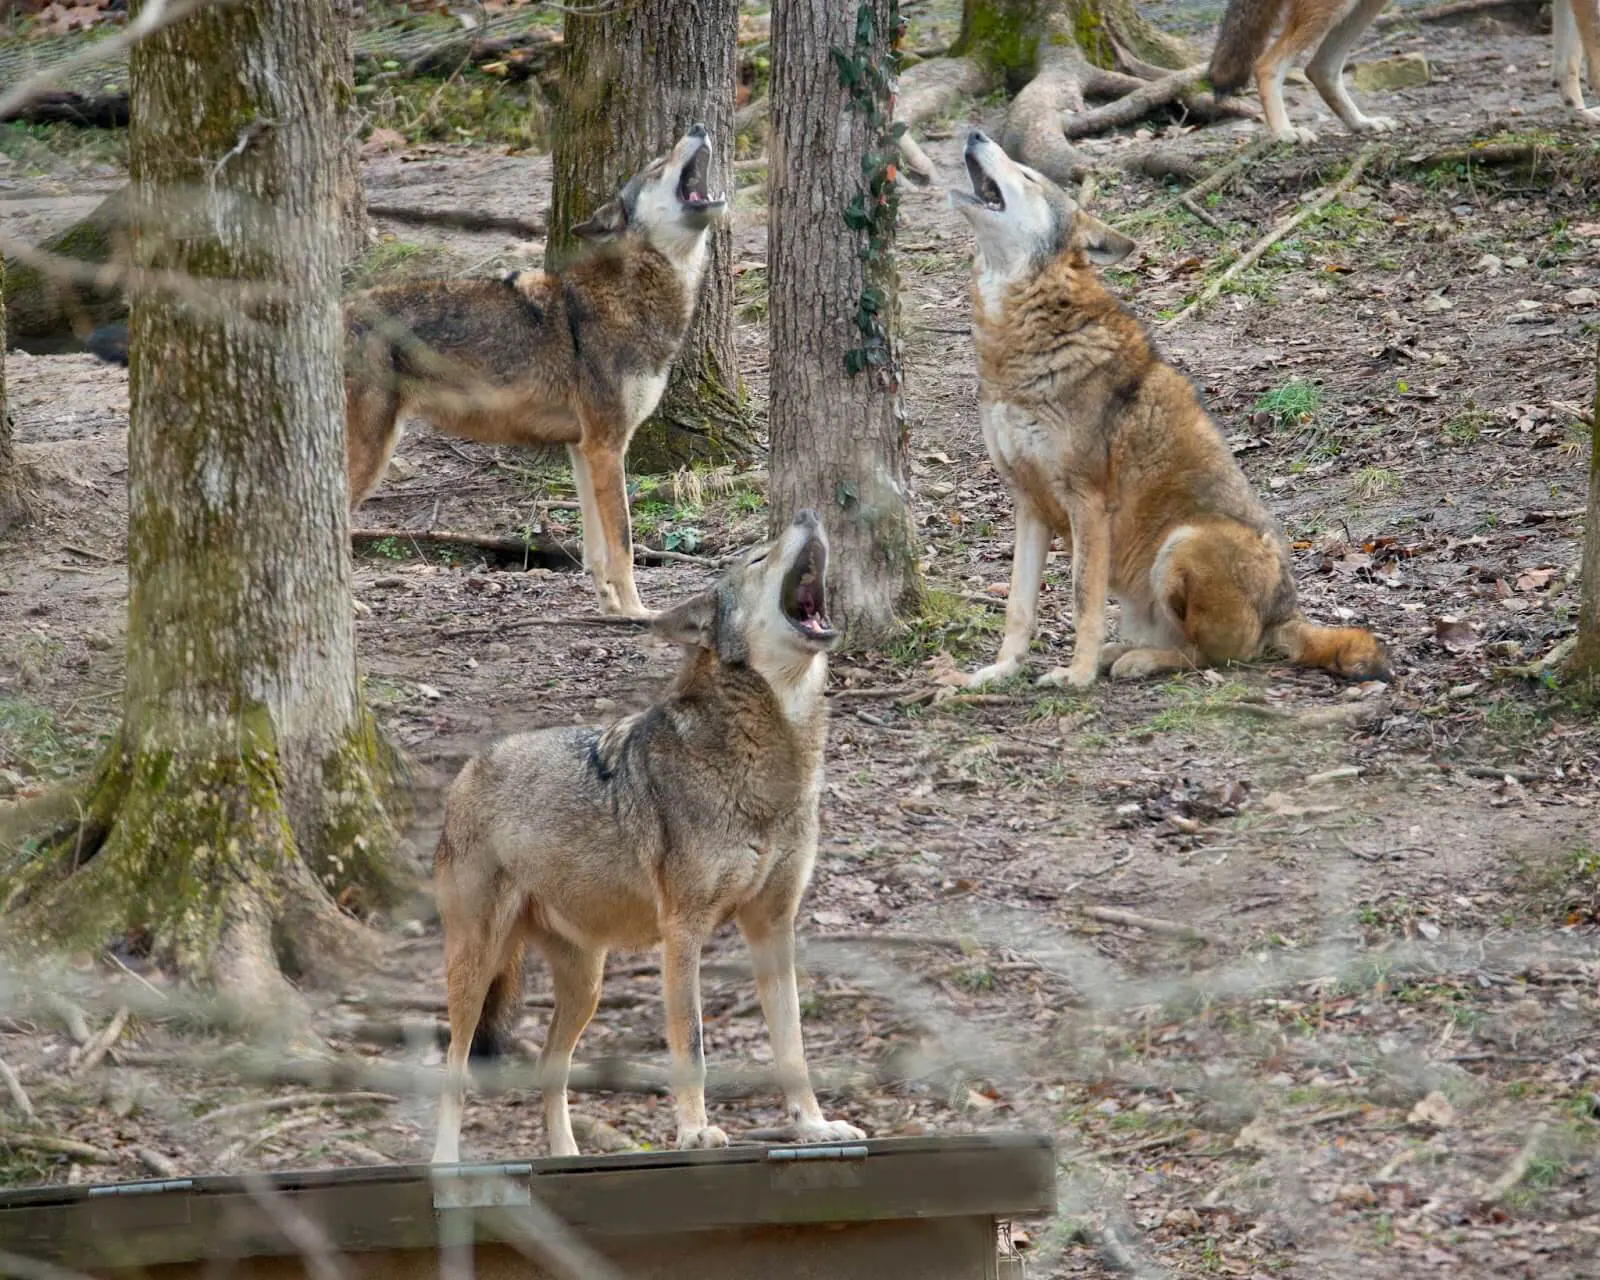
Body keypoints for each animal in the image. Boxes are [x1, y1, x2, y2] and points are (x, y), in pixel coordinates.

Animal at [429, 509, 866, 1162]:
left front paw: (814, 1126)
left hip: (585, 985)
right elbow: (693, 1043)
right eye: (759, 557)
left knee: (551, 1070)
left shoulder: (773, 926)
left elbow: (793, 1048)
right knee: (455, 1068)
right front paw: (695, 1131)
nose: (808, 514)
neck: (770, 761)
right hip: (477, 969)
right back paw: (446, 1166)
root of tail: (468, 770)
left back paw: (567, 1158)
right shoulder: (683, 930)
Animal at [946, 132, 1392, 691]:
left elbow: (1082, 602)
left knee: (1217, 657)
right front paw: (997, 672)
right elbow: (1019, 607)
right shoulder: (1028, 506)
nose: (975, 133)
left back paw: (1133, 662)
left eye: (1027, 174)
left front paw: (1076, 676)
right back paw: (1122, 653)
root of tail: (1285, 616)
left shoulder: (1087, 503)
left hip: (1184, 542)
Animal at [1209, 0, 1600, 143]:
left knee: (1319, 68)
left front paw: (1580, 113)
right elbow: (1592, 66)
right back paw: (1285, 133)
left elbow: (1567, 65)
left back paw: (1362, 124)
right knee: (1267, 64)